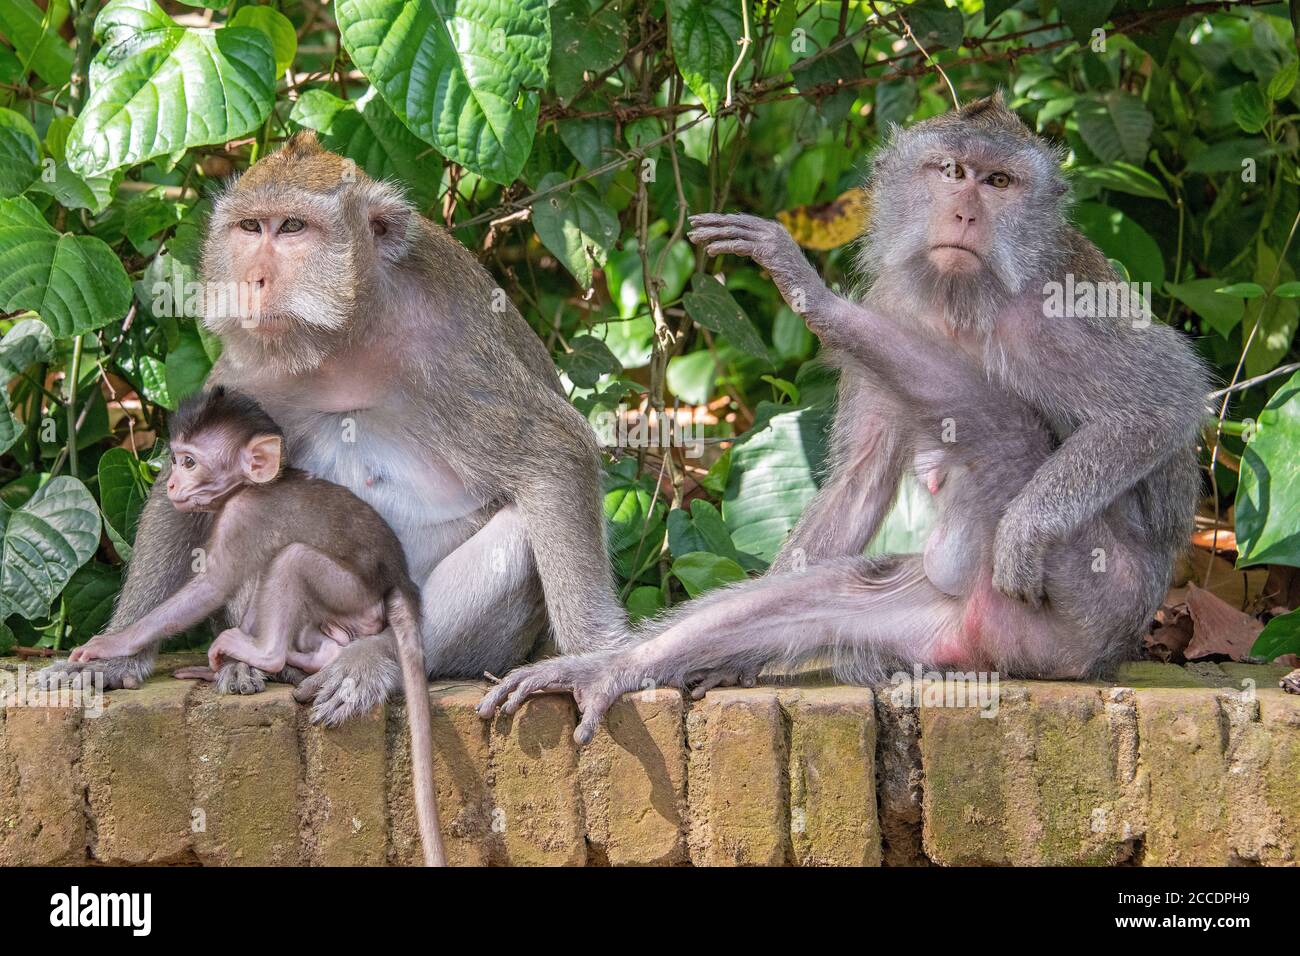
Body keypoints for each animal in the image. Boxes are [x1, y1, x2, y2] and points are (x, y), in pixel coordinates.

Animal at [38, 130, 628, 725]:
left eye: (292, 228)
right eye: (251, 228)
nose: (253, 279)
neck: (347, 332)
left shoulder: (454, 344)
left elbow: (553, 453)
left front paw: (588, 661)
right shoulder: (251, 364)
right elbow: (181, 489)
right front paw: (115, 657)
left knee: (517, 531)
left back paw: (370, 659)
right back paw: (254, 663)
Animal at [70, 387, 447, 866]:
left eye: (189, 462)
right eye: (174, 459)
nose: (171, 484)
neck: (251, 486)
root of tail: (398, 578)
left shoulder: (243, 515)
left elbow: (213, 585)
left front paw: (109, 645)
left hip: (350, 592)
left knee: (290, 560)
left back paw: (266, 654)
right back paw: (307, 657)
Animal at [478, 93, 1211, 744]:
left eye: (1000, 182)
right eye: (952, 172)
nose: (965, 212)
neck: (960, 300)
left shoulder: (1055, 309)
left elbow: (1164, 406)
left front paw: (1026, 530)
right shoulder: (892, 301)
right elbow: (859, 481)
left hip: (1099, 599)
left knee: (1003, 429)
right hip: (951, 622)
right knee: (843, 587)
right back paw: (611, 671)